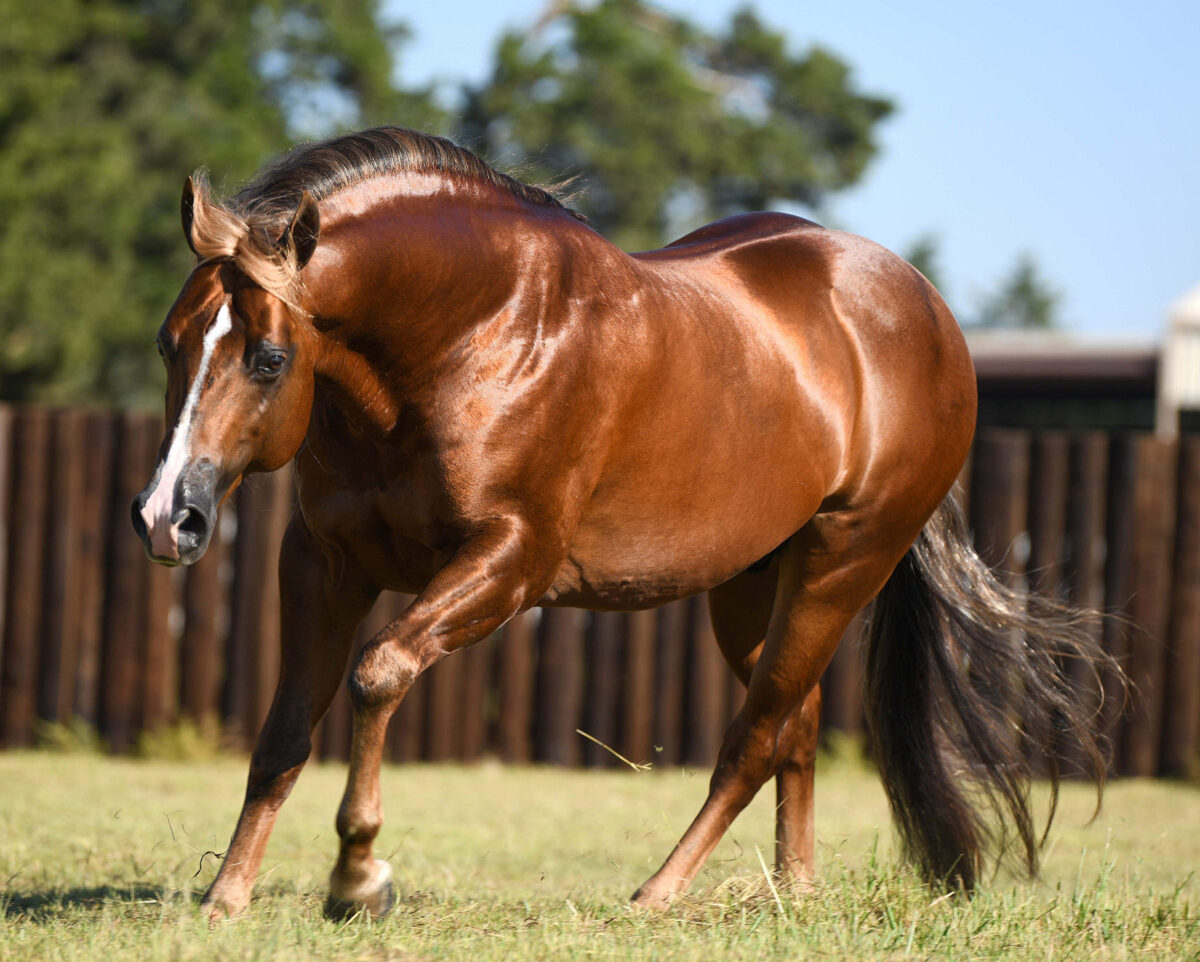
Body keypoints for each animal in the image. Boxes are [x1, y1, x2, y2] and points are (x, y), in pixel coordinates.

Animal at [131, 126, 1113, 921]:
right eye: (168, 342)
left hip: (843, 564)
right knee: (795, 725)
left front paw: (358, 878)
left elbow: (378, 675)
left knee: (755, 738)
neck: (471, 332)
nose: (166, 519)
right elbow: (284, 729)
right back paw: (793, 896)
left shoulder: (510, 562)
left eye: (267, 357)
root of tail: (927, 315)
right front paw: (228, 894)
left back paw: (659, 893)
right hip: (752, 587)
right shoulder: (325, 563)